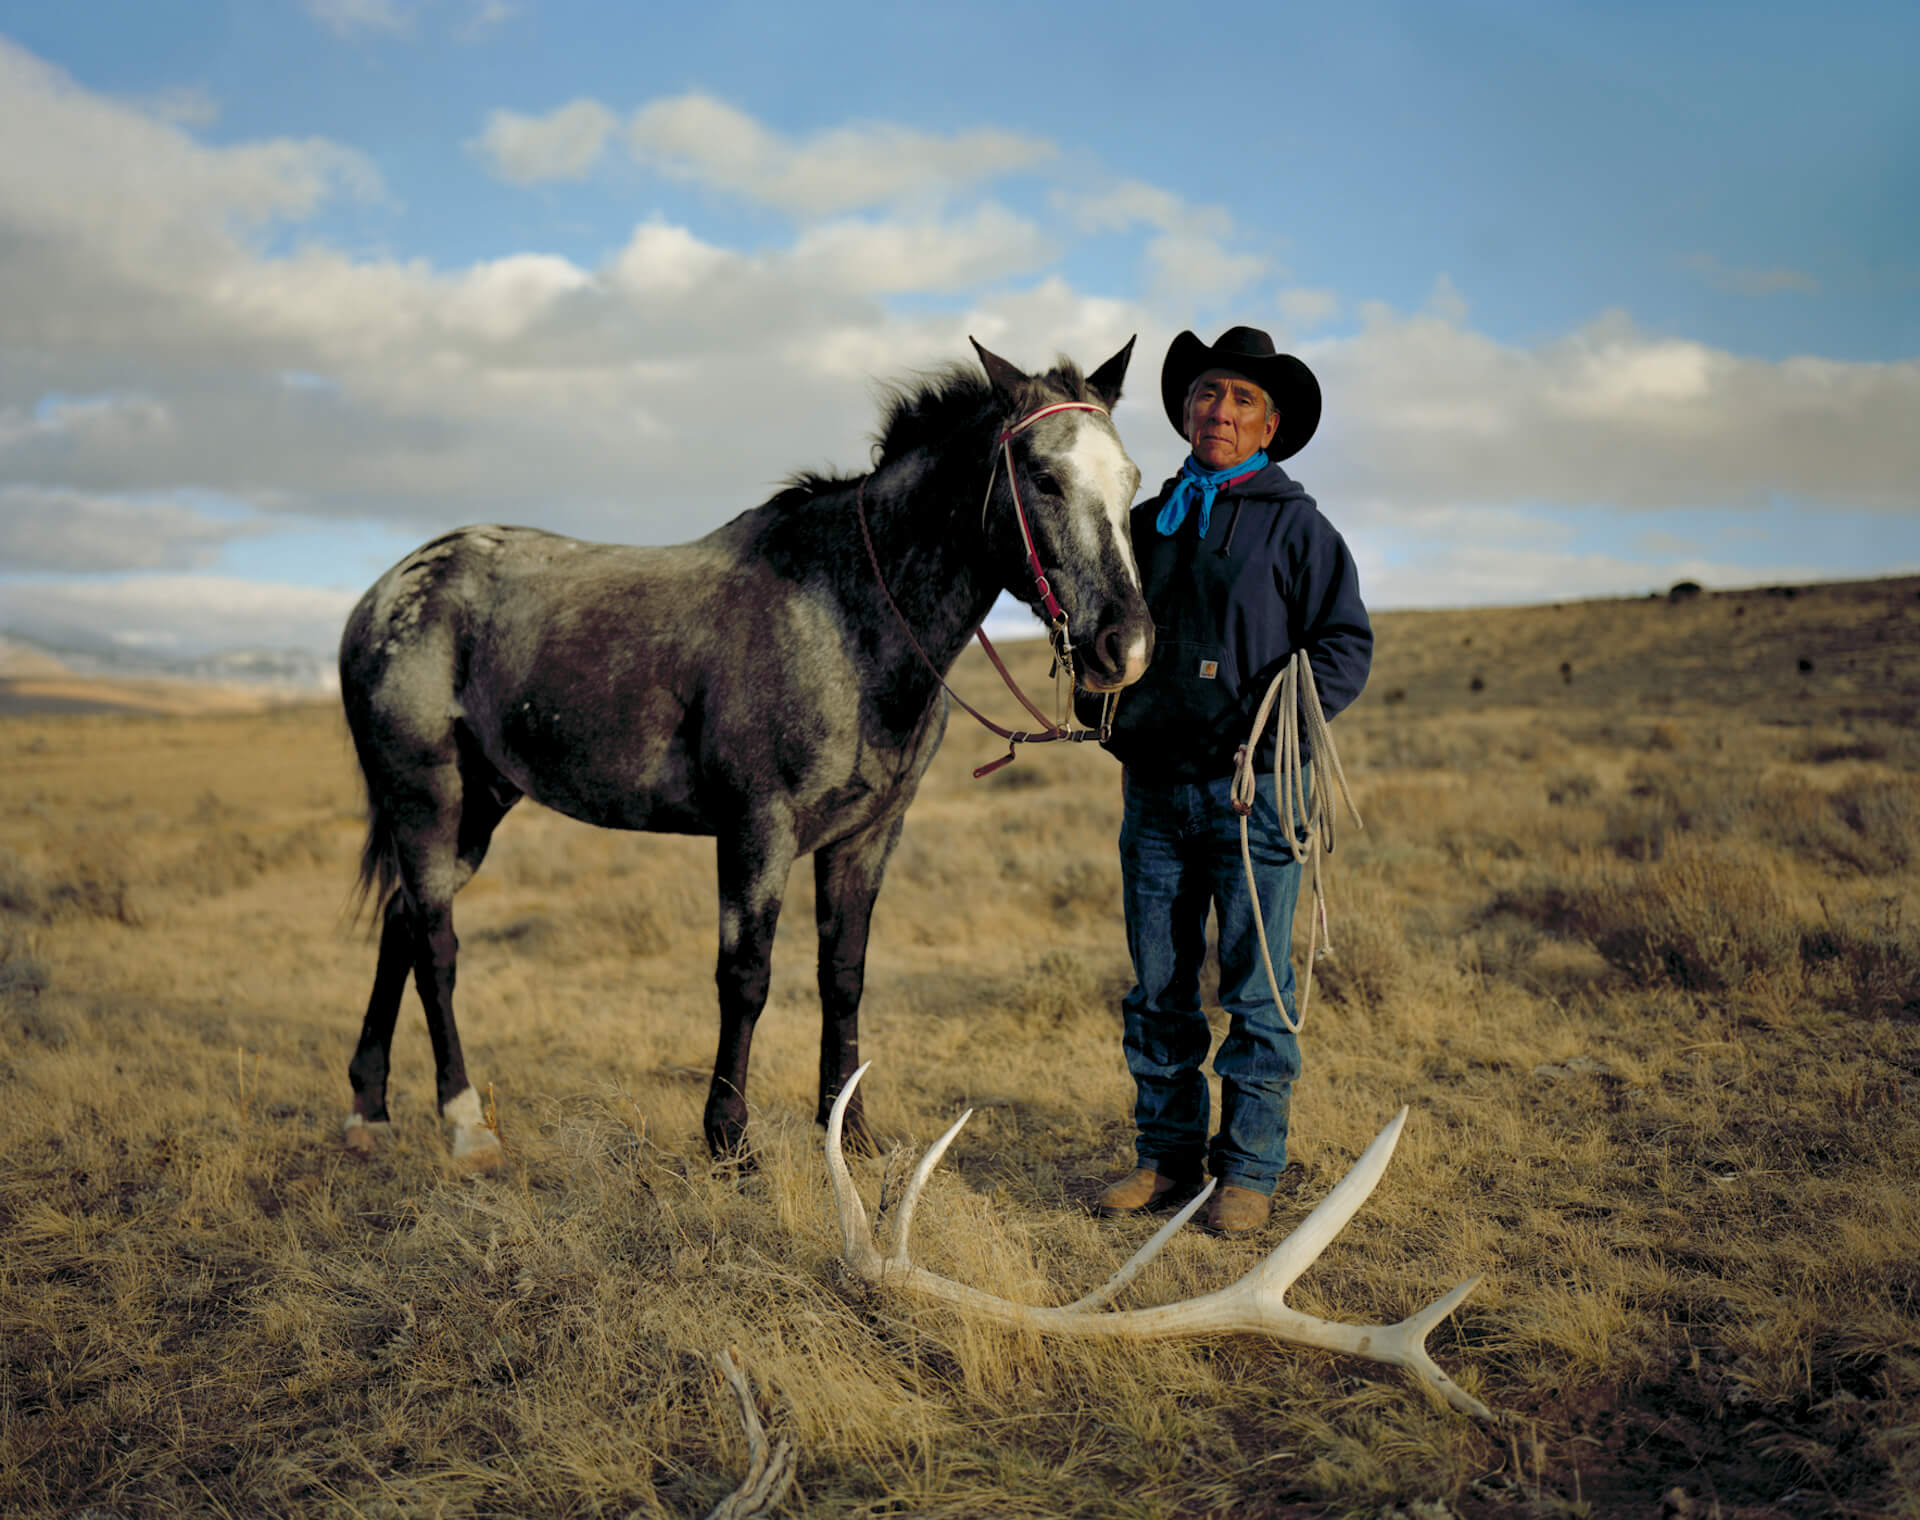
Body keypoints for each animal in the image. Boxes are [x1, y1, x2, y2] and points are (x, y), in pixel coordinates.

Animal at [337, 339, 1153, 1168]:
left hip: (478, 807)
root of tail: (389, 591)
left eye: (1132, 480)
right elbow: (747, 978)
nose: (1125, 645)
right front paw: (729, 1141)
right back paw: (464, 1123)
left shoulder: (867, 837)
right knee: (436, 945)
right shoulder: (757, 830)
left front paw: (849, 1132)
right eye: (1044, 477)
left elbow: (843, 976)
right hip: (426, 798)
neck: (845, 615)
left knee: (404, 923)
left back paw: (370, 1111)